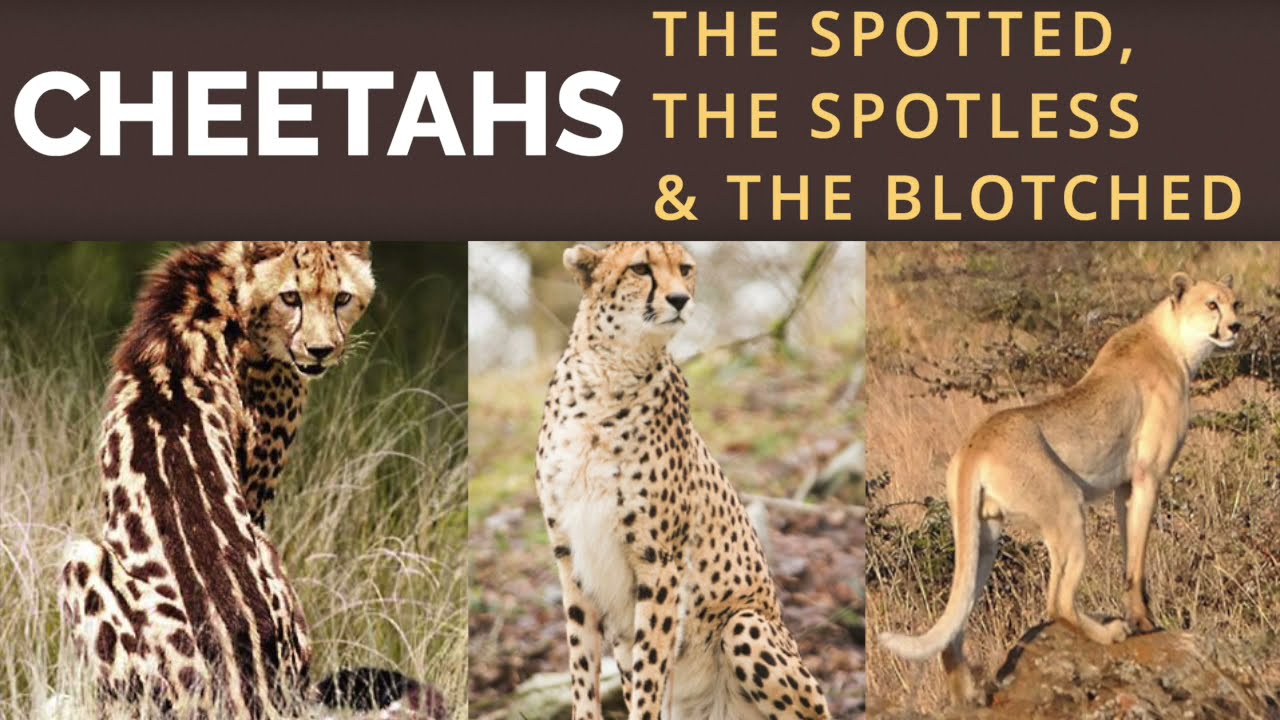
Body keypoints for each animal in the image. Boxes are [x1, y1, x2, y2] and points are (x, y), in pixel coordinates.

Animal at [57, 241, 444, 719]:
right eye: (291, 297)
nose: (320, 351)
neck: (219, 293)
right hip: (85, 558)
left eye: (342, 298)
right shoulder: (255, 498)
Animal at [535, 241, 831, 720]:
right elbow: (581, 665)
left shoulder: (661, 563)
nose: (679, 299)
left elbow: (651, 669)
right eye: (640, 268)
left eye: (685, 269)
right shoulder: (571, 559)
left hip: (745, 623)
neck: (606, 377)